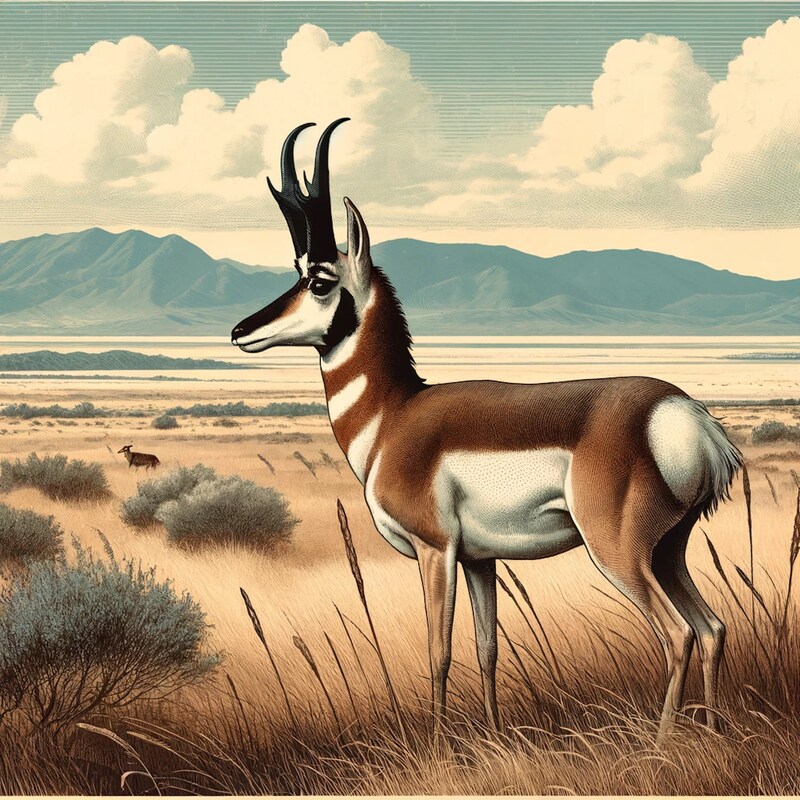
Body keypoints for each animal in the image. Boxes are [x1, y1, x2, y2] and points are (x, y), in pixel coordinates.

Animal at [231, 118, 743, 743]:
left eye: (320, 279)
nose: (239, 330)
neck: (394, 416)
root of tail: (682, 412)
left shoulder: (436, 552)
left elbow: (439, 652)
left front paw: (439, 749)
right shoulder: (479, 560)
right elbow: (487, 648)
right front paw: (495, 737)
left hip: (619, 552)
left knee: (679, 634)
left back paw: (662, 743)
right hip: (669, 550)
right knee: (714, 627)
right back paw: (714, 733)